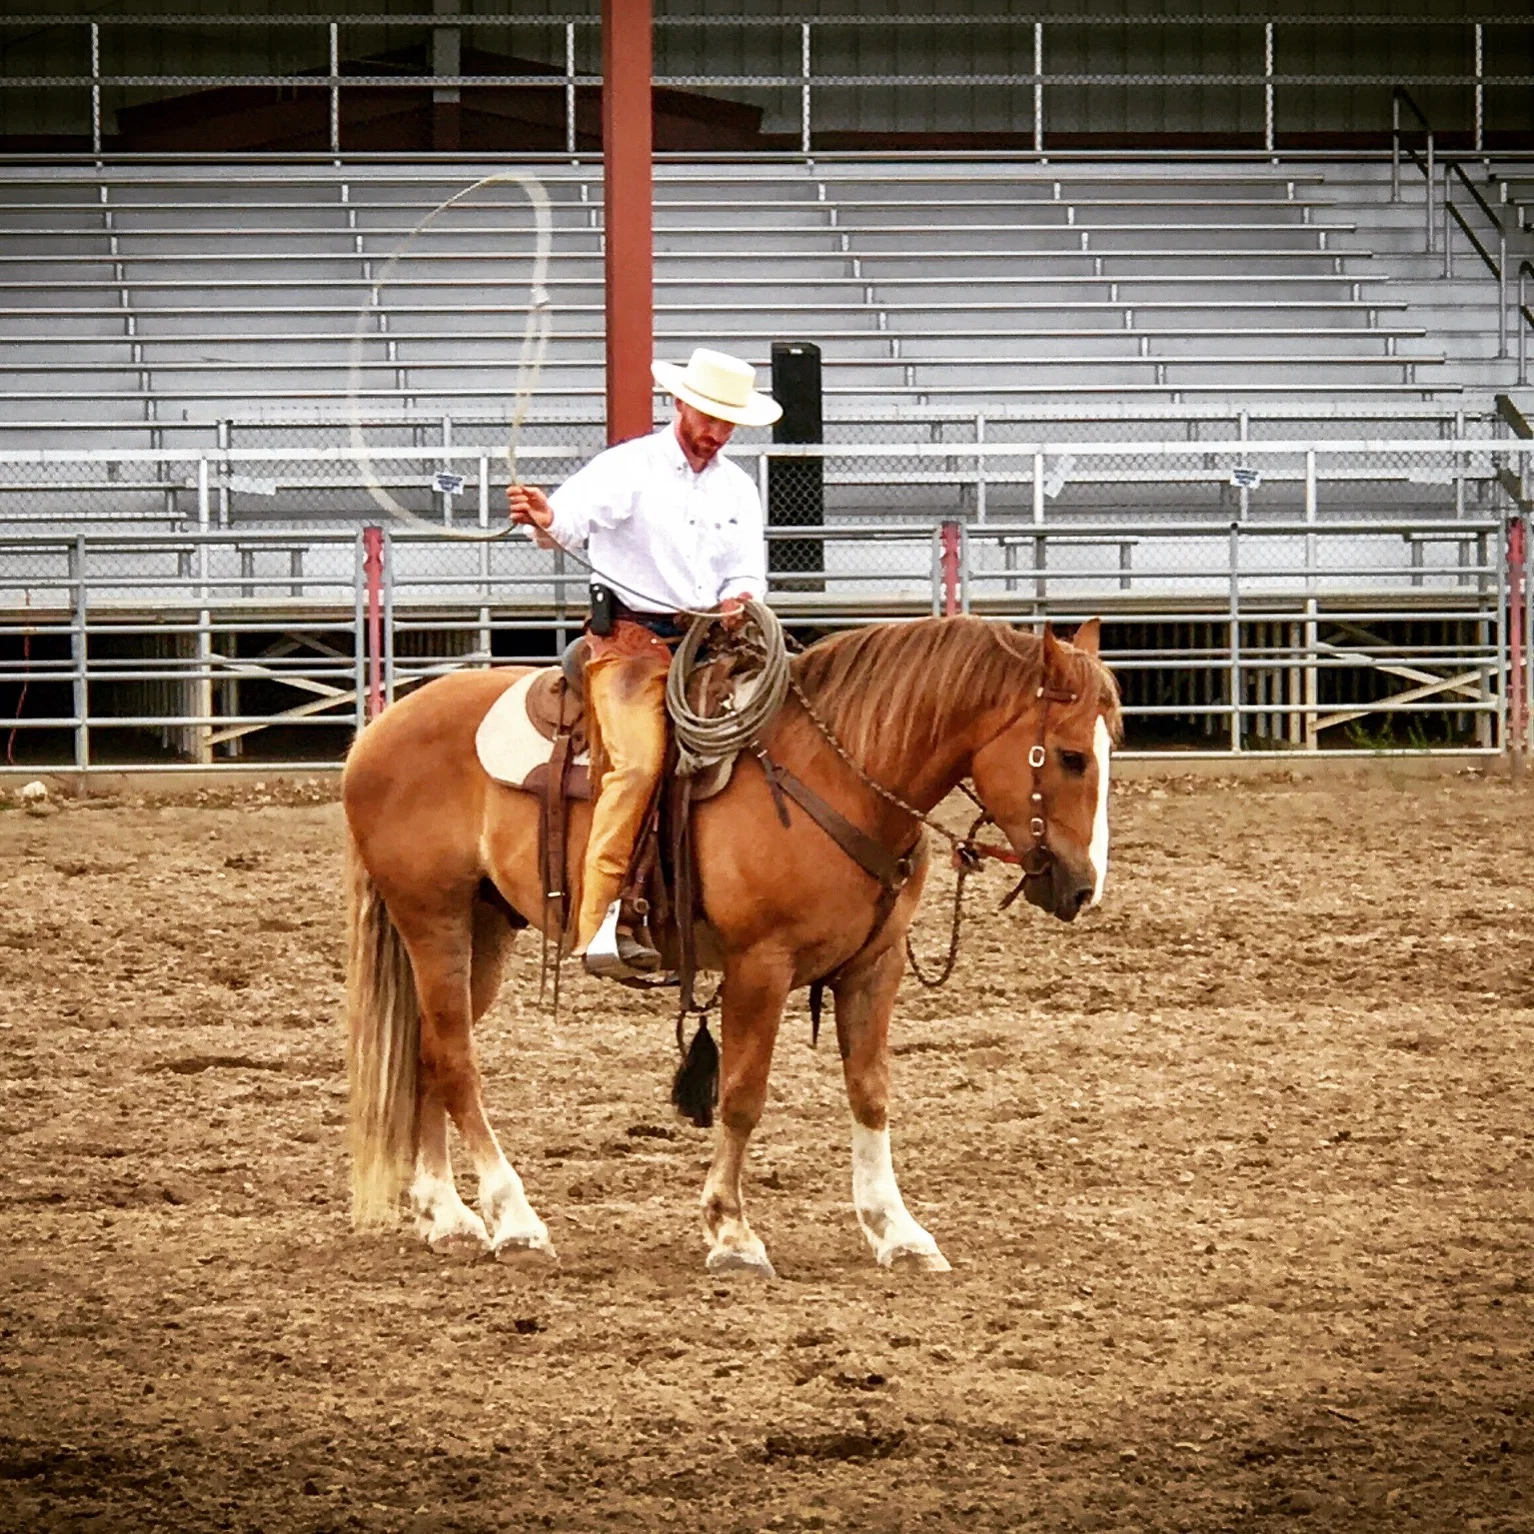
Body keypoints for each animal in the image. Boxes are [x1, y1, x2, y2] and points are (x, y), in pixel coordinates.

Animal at [341, 614, 1121, 1277]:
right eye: (1071, 757)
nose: (1083, 887)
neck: (837, 774)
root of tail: (381, 729)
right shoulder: (760, 966)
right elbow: (743, 1096)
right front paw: (732, 1232)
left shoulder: (875, 966)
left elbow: (871, 1092)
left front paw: (898, 1231)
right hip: (434, 920)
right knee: (456, 1060)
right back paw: (514, 1220)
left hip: (484, 930)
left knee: (429, 1051)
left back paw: (446, 1216)